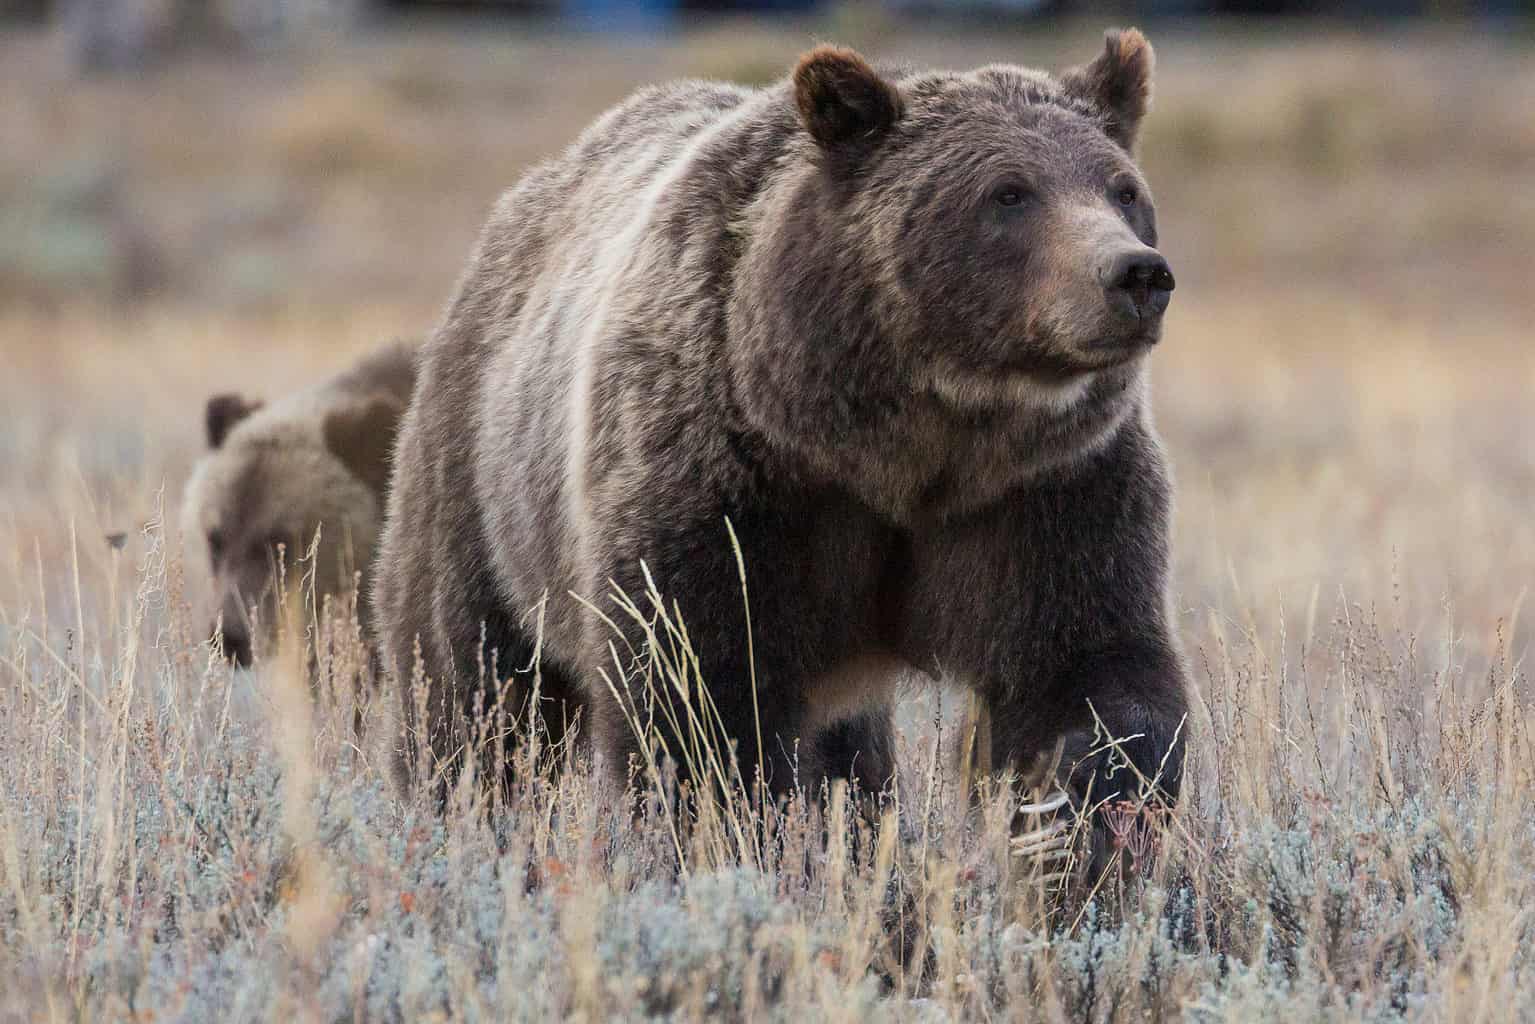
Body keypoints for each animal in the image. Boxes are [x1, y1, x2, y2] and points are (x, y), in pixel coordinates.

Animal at [374, 29, 1188, 842]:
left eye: (1121, 189)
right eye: (1009, 193)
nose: (1135, 273)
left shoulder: (1046, 487)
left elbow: (1084, 663)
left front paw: (1070, 813)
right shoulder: (728, 475)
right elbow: (700, 689)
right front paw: (726, 821)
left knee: (850, 752)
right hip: (483, 486)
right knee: (476, 687)